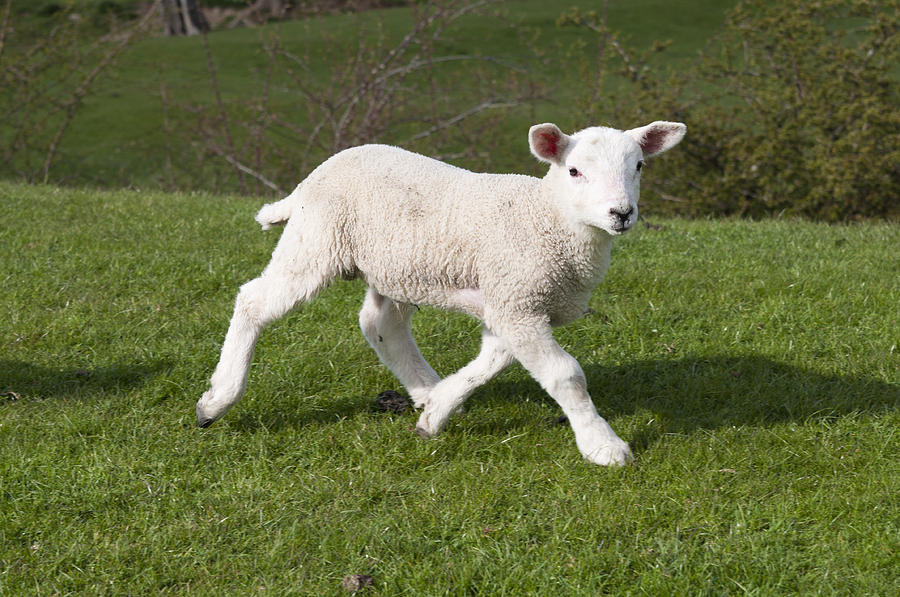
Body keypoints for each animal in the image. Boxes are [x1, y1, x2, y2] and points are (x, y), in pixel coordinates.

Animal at [195, 120, 686, 466]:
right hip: (317, 241)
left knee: (381, 326)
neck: (548, 217)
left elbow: (492, 362)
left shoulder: (511, 303)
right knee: (253, 301)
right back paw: (217, 400)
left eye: (639, 166)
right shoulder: (518, 301)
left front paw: (436, 412)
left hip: (396, 268)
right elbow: (566, 374)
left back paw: (424, 390)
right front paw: (603, 445)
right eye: (575, 171)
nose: (621, 213)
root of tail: (311, 177)